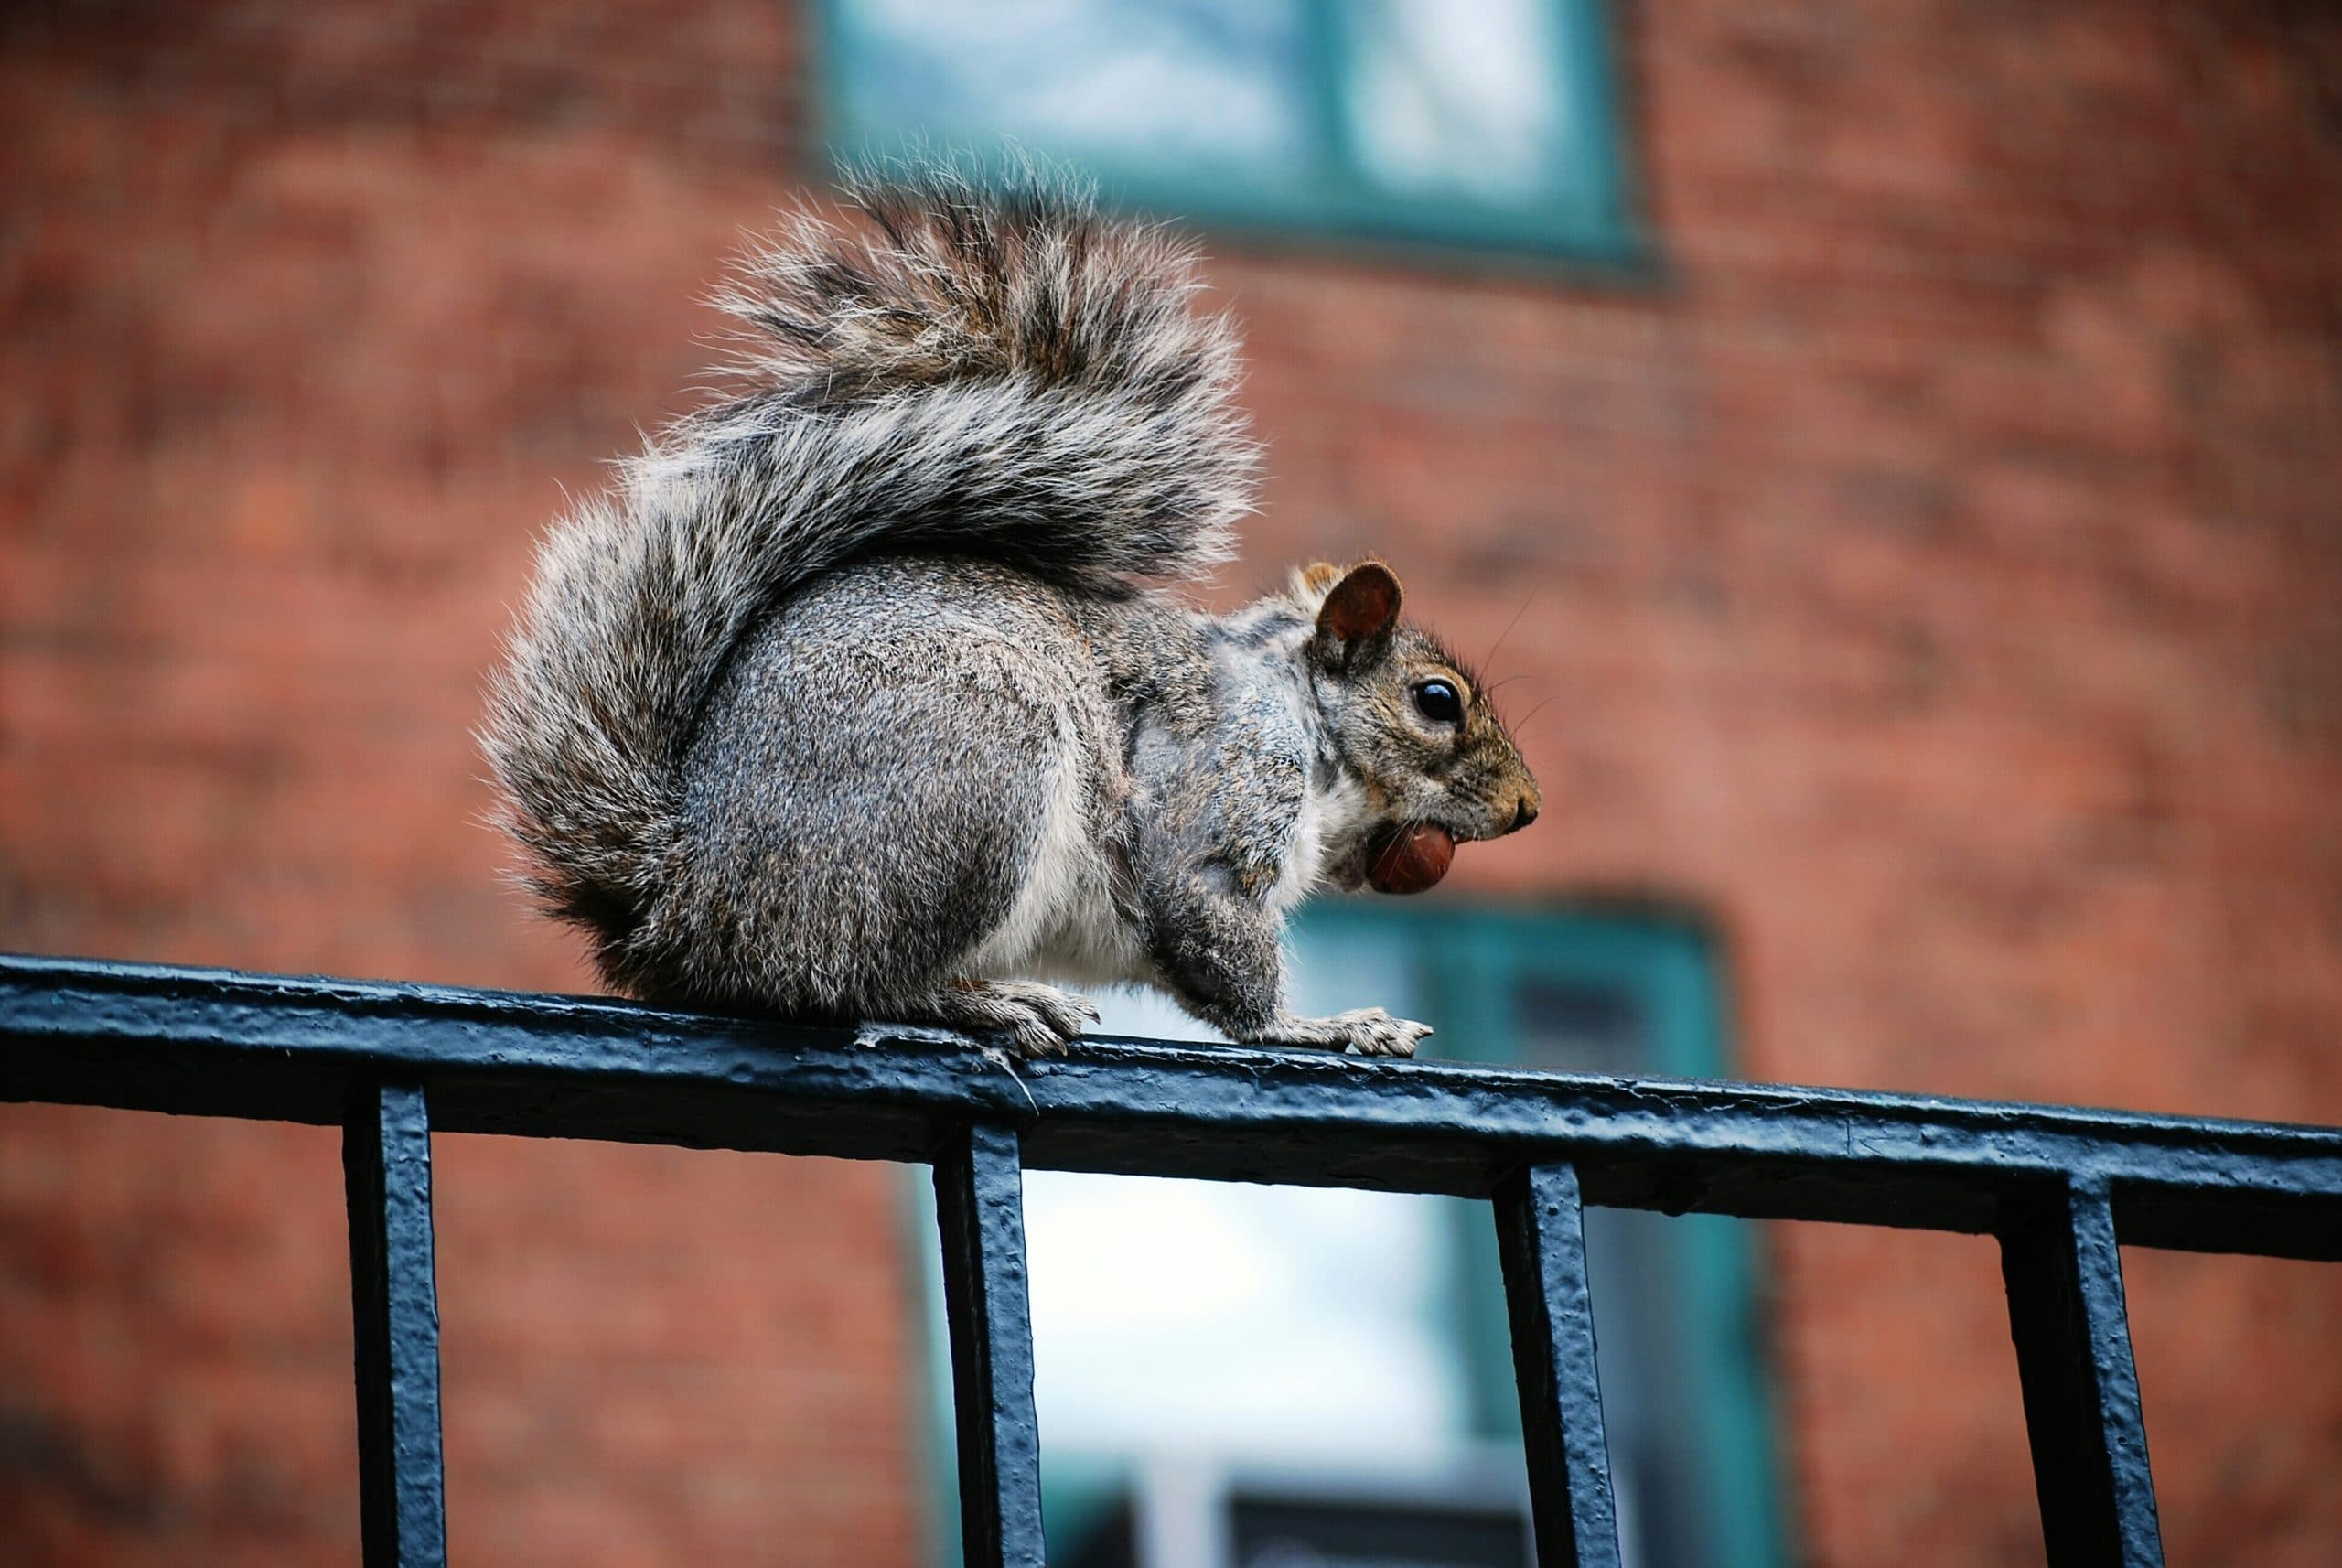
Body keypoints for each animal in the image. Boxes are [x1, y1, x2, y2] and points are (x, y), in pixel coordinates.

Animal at [482, 166, 1540, 1059]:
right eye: (1437, 700)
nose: (1526, 808)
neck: (1300, 710)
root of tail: (687, 894)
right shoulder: (1221, 796)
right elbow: (1218, 943)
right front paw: (1325, 1025)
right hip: (977, 770)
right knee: (839, 982)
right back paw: (986, 1002)